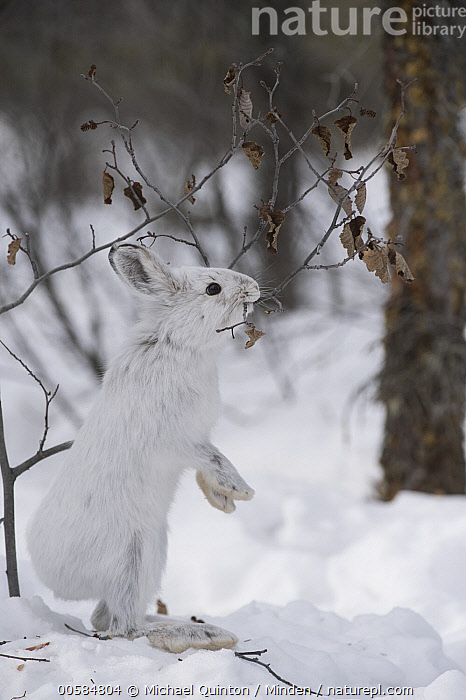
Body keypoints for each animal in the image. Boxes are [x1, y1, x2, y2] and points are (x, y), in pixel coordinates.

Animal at [27, 242, 260, 653]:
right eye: (213, 288)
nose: (254, 288)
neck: (177, 344)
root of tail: (53, 578)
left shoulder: (198, 440)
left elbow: (208, 467)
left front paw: (224, 502)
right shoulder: (181, 441)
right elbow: (215, 458)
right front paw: (240, 490)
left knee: (103, 618)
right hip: (132, 559)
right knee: (123, 627)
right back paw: (199, 635)